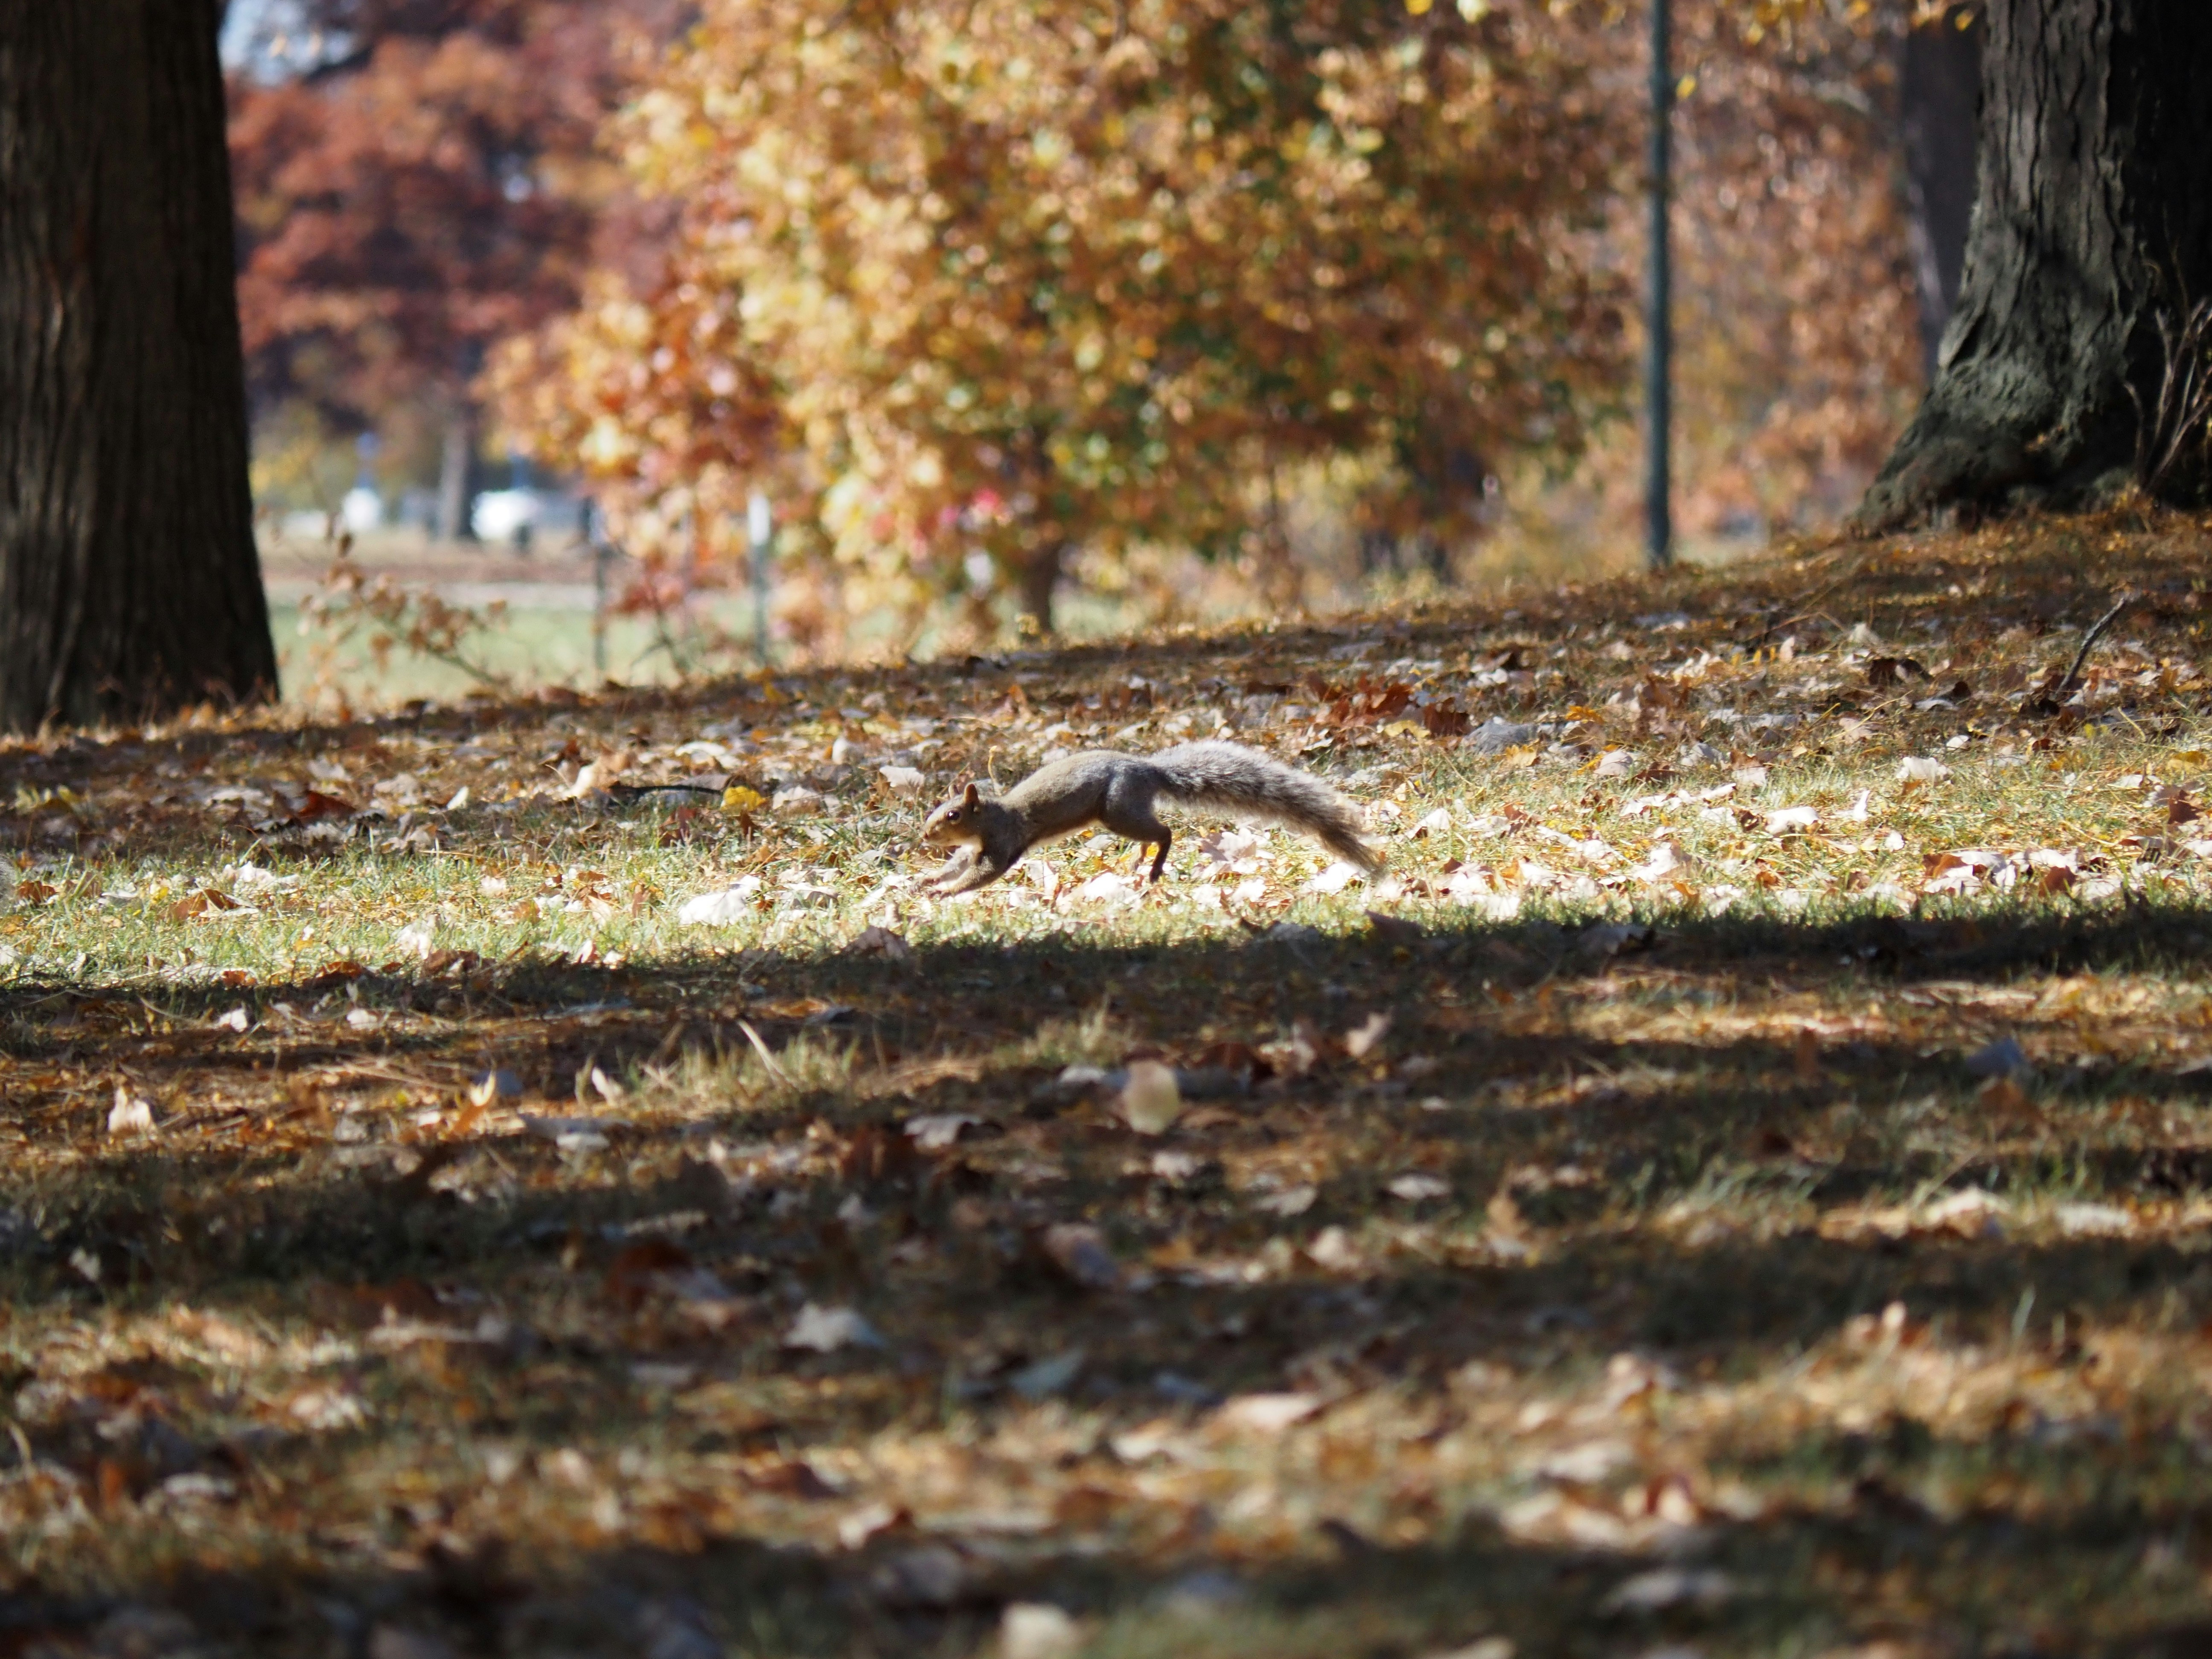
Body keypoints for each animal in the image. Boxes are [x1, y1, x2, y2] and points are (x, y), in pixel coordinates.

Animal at [917, 740, 1383, 896]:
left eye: (953, 815)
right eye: (936, 812)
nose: (925, 836)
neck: (990, 817)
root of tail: (1149, 771)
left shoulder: (1001, 842)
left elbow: (983, 874)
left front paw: (945, 892)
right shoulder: (975, 848)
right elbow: (960, 865)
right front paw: (930, 879)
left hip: (1118, 807)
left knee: (1166, 832)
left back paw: (1156, 865)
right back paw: (1142, 862)